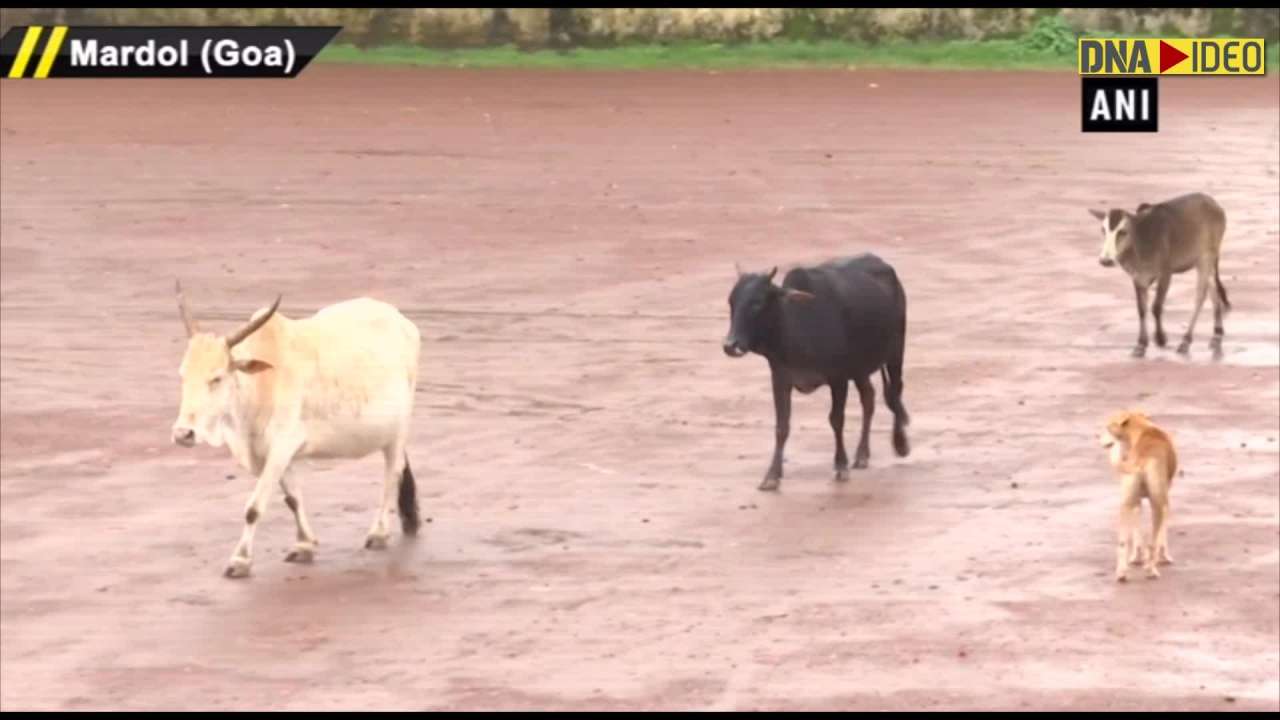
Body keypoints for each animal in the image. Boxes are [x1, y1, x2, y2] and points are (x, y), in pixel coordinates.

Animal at [171, 282, 422, 578]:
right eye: (183, 375)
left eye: (216, 378)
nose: (183, 433)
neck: (261, 385)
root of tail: (401, 321)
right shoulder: (281, 456)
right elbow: (292, 499)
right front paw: (304, 544)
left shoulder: (280, 448)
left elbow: (254, 508)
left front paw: (240, 560)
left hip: (398, 431)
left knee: (391, 476)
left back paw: (379, 532)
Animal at [722, 254, 910, 491]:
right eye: (731, 301)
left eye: (757, 303)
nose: (730, 345)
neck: (797, 326)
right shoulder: (781, 378)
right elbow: (782, 426)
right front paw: (772, 475)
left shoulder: (838, 378)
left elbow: (836, 420)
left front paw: (841, 465)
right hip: (860, 369)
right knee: (869, 397)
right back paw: (862, 455)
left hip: (895, 353)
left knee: (894, 392)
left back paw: (900, 443)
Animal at [1090, 193, 1230, 359]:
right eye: (1103, 230)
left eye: (1122, 232)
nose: (1105, 260)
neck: (1141, 243)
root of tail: (1216, 205)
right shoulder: (1138, 278)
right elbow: (1141, 309)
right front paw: (1141, 344)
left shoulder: (1165, 273)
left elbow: (1156, 307)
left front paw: (1160, 338)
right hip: (1203, 262)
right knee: (1213, 290)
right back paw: (1217, 333)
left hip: (1205, 257)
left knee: (1200, 296)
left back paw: (1186, 340)